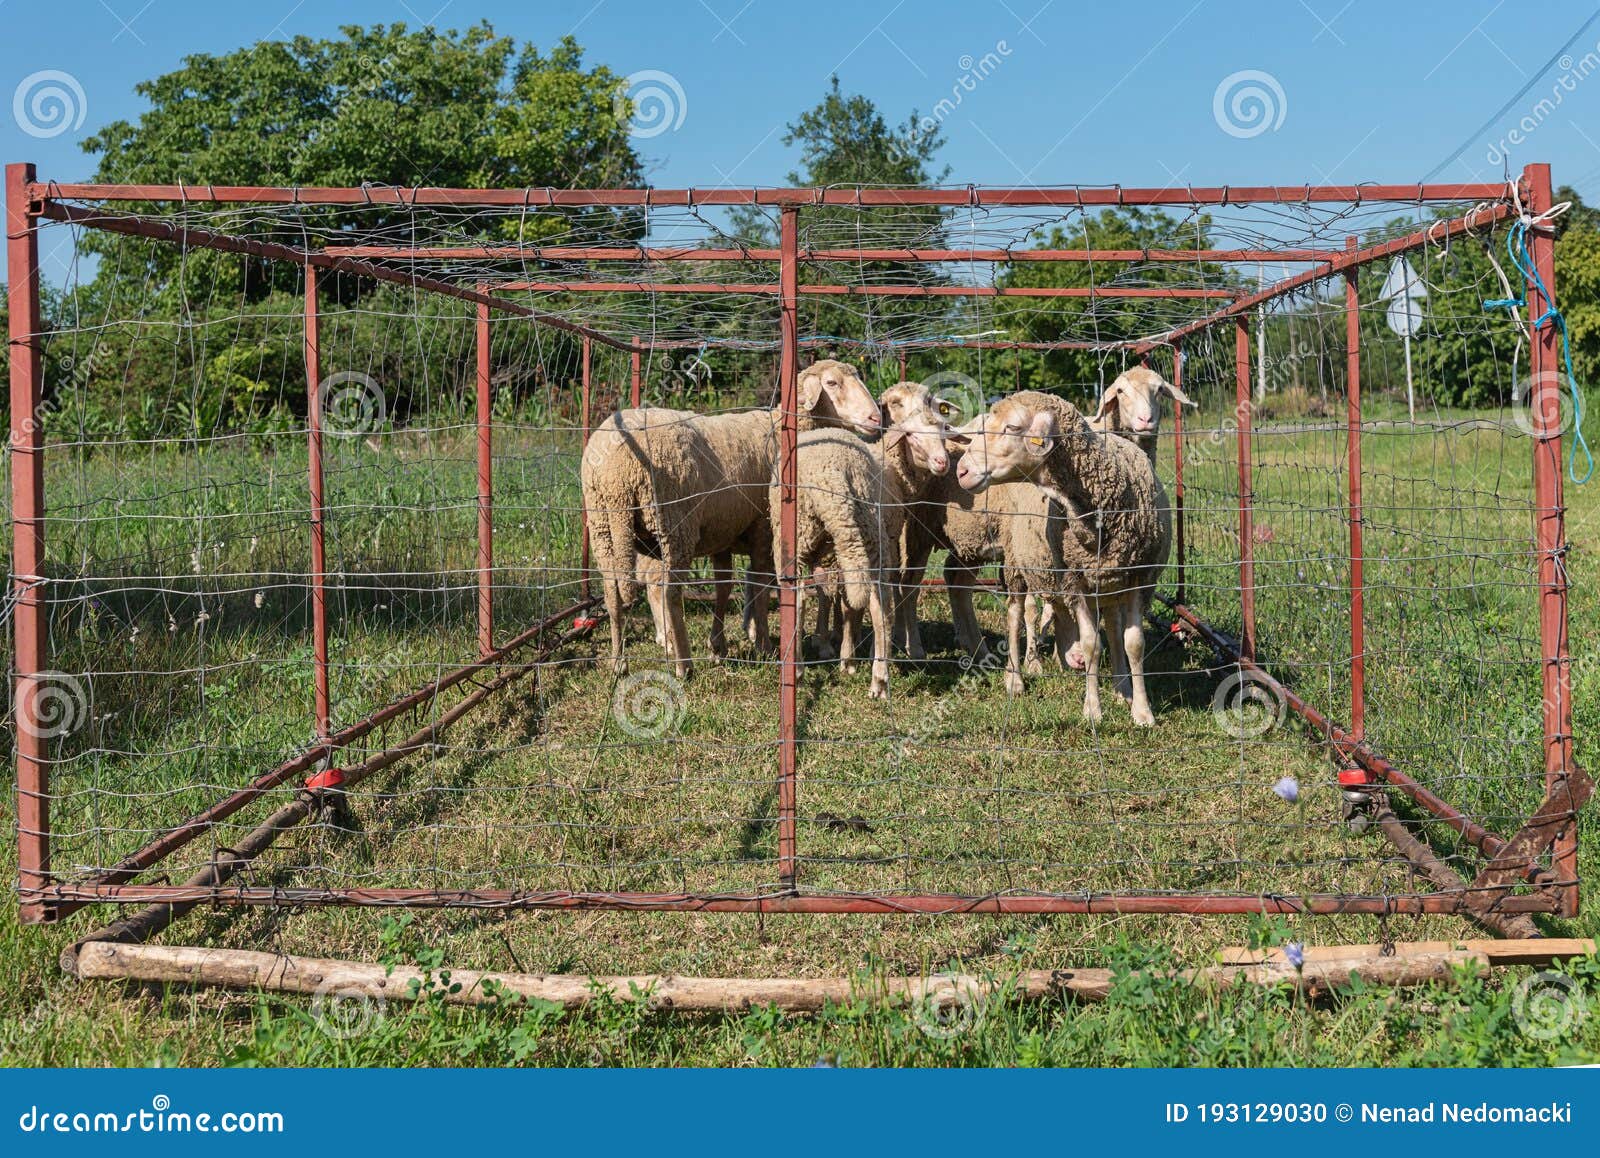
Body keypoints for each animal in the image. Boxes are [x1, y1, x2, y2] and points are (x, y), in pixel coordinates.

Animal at [581, 360, 880, 679]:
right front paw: (763, 645)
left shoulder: (723, 531)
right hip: (674, 524)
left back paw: (619, 661)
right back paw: (682, 662)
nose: (876, 417)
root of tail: (615, 472)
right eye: (832, 383)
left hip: (603, 526)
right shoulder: (763, 528)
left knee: (613, 590)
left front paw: (719, 646)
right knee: (669, 592)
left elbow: (724, 586)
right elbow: (760, 584)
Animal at [773, 381, 958, 698]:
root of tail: (829, 476)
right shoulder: (885, 540)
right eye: (895, 403)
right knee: (879, 605)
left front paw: (843, 650)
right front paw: (850, 657)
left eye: (942, 430)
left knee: (796, 600)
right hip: (870, 535)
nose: (942, 462)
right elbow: (855, 602)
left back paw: (796, 669)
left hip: (800, 538)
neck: (893, 467)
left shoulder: (832, 552)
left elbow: (840, 600)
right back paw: (879, 679)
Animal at [956, 390, 1170, 725]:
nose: (961, 472)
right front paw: (1093, 710)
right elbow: (1091, 644)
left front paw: (1142, 711)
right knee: (1015, 615)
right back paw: (1015, 679)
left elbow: (1133, 643)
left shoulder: (1140, 577)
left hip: (1106, 583)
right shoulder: (1074, 580)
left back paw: (1121, 688)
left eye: (1012, 427)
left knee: (1110, 625)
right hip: (1016, 564)